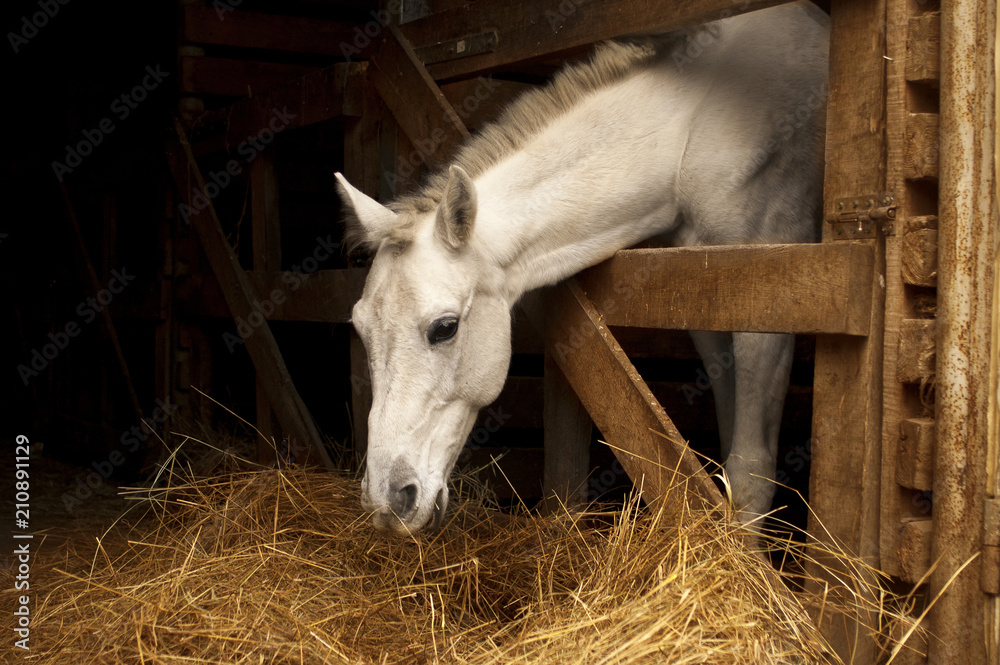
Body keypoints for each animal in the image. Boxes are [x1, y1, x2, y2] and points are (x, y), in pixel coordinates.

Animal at [335, 1, 829, 534]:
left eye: (445, 328)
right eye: (360, 329)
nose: (387, 502)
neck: (692, 134)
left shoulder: (767, 305)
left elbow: (751, 472)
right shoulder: (710, 314)